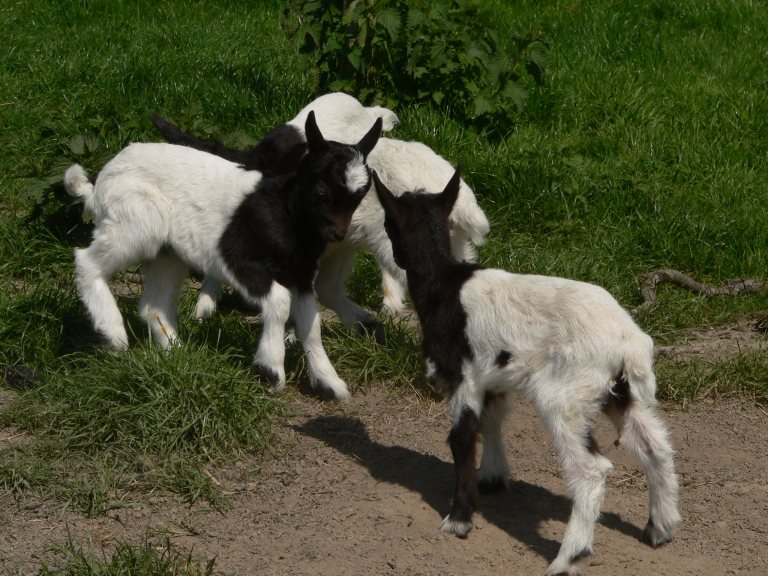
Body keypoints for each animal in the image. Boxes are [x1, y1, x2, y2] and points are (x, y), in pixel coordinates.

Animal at [64, 112, 381, 402]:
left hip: (166, 252)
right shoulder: (239, 261)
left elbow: (310, 325)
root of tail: (98, 184)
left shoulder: (300, 275)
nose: (338, 233)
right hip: (133, 225)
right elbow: (280, 302)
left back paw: (179, 356)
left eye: (362, 192)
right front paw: (270, 368)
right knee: (87, 262)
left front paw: (329, 383)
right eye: (321, 188)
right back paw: (114, 332)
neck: (283, 210)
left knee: (154, 306)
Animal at [372, 169, 681, 575]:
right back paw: (660, 527)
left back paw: (569, 555)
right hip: (620, 393)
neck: (443, 283)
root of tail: (629, 343)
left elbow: (460, 437)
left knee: (591, 469)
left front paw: (459, 518)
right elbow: (490, 421)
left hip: (566, 396)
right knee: (655, 447)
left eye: (388, 223)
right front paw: (492, 477)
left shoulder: (463, 375)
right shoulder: (494, 377)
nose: (393, 256)